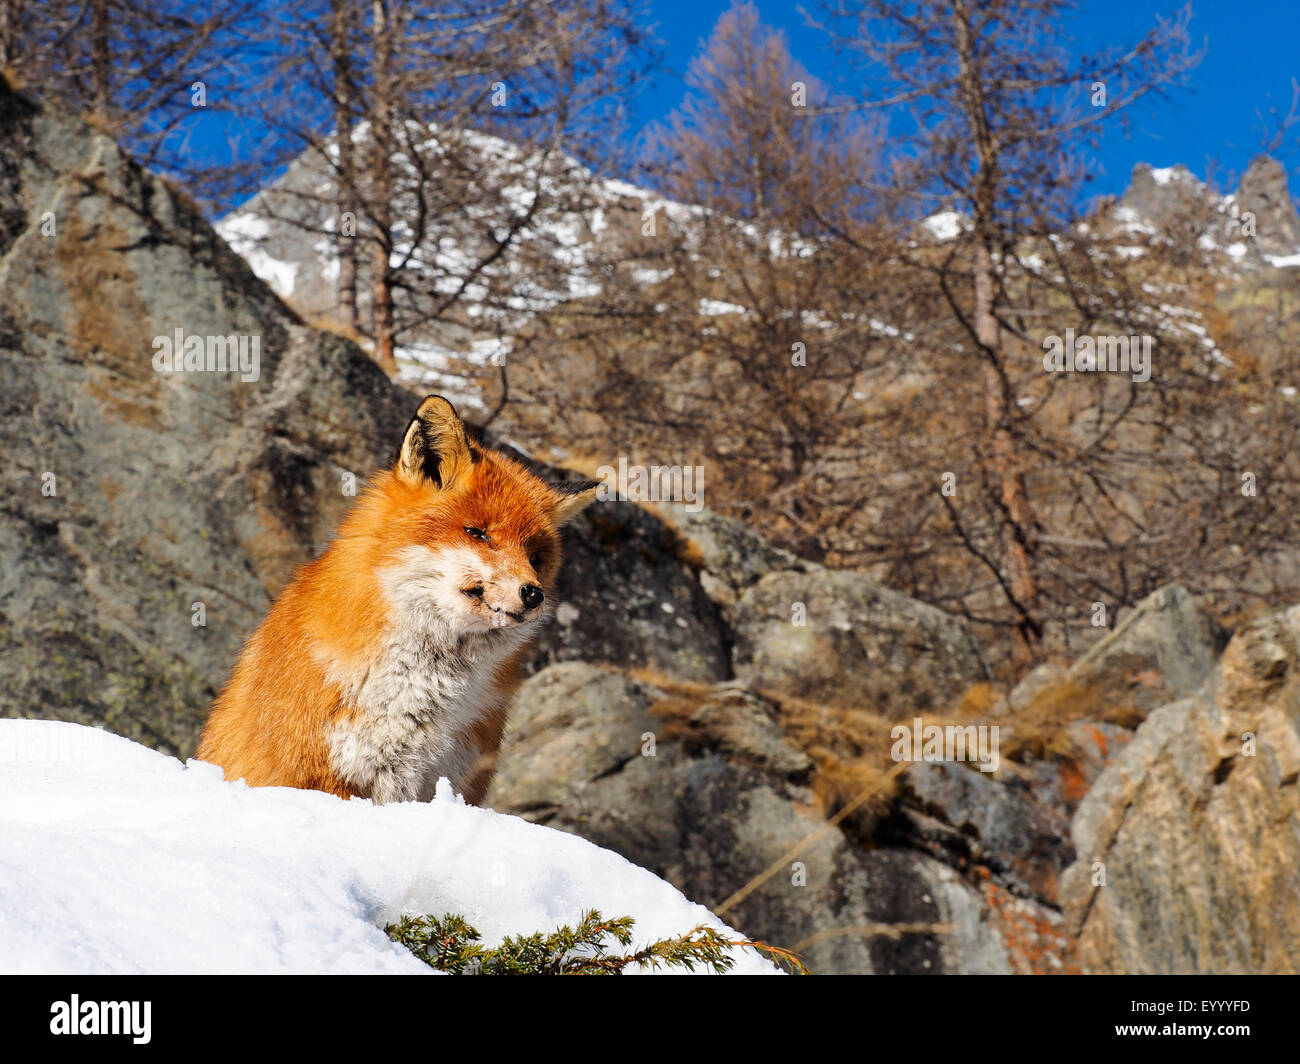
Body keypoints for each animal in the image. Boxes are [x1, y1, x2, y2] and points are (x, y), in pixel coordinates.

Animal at [195, 395, 600, 806]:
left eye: (535, 558)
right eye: (477, 533)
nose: (533, 593)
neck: (428, 687)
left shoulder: (449, 779)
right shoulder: (318, 771)